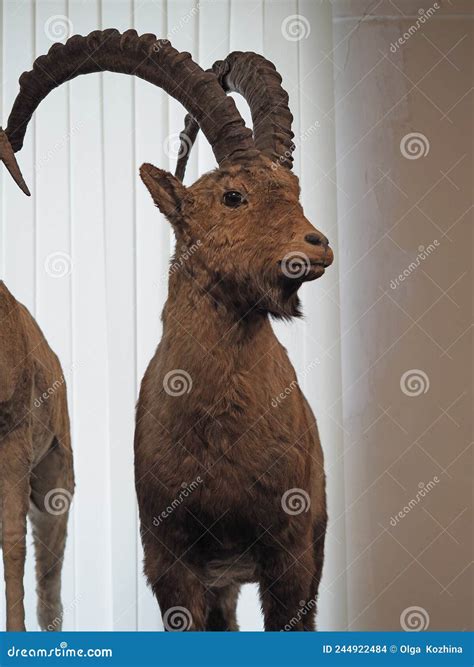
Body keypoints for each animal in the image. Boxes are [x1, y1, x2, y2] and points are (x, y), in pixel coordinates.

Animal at [1, 30, 333, 631]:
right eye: (233, 195)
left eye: (295, 188)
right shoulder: (169, 559)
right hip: (221, 584)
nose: (316, 245)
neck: (220, 429)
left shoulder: (291, 554)